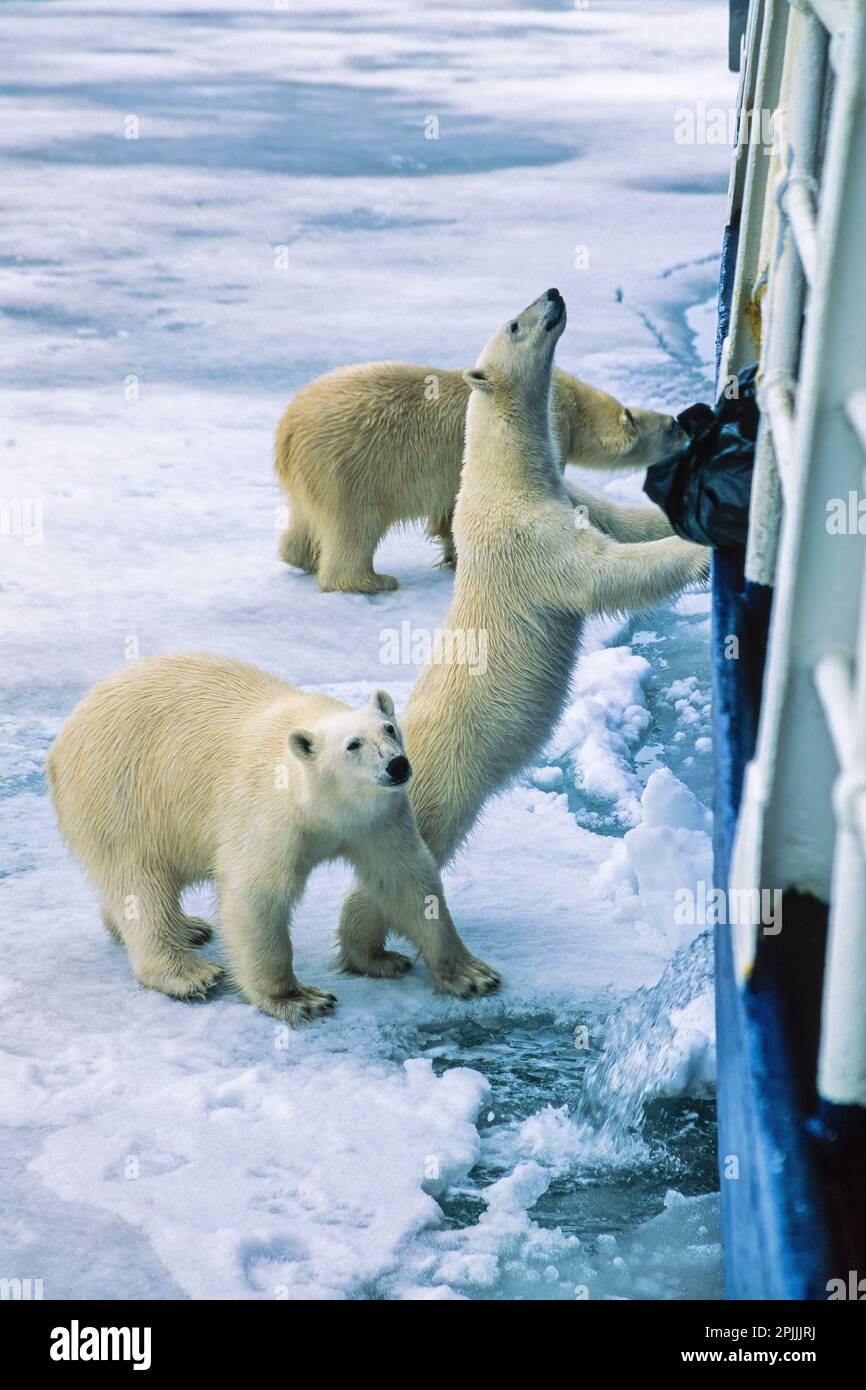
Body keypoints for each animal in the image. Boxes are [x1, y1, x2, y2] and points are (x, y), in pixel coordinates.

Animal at [46, 653, 500, 1024]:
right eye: (353, 745)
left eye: (390, 728)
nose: (397, 765)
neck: (319, 802)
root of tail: (63, 737)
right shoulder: (268, 813)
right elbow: (257, 895)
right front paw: (299, 999)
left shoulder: (378, 818)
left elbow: (406, 879)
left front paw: (465, 973)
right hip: (121, 791)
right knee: (139, 878)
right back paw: (188, 971)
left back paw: (189, 928)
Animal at [274, 358, 685, 593]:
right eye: (672, 427)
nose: (683, 427)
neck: (573, 406)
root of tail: (287, 432)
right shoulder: (549, 426)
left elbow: (450, 512)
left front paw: (453, 556)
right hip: (352, 468)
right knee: (356, 526)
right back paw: (372, 581)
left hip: (311, 477)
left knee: (305, 521)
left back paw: (303, 557)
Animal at [336, 289, 709, 965]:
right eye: (515, 323)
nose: (555, 293)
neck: (501, 479)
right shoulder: (526, 538)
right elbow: (598, 575)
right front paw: (701, 552)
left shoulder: (560, 499)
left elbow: (617, 521)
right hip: (443, 775)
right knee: (417, 849)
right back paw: (371, 953)